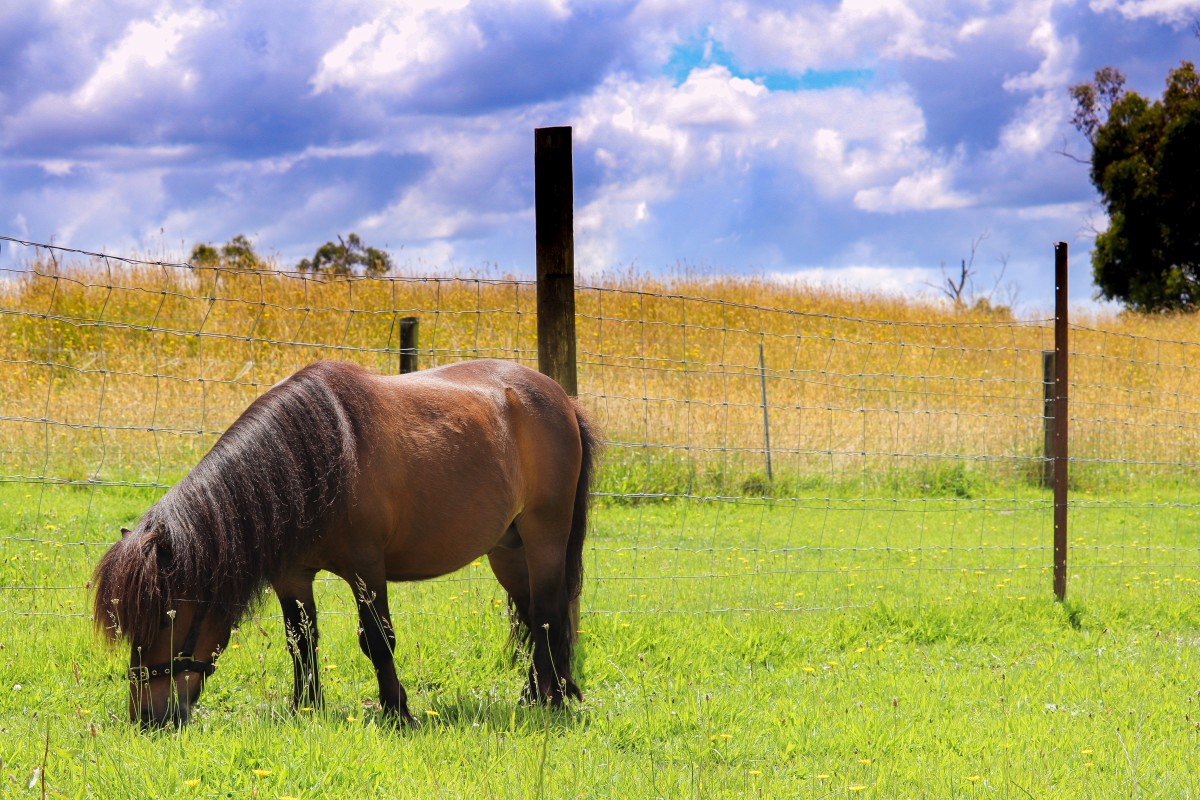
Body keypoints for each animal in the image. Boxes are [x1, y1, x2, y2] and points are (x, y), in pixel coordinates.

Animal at [92, 359, 598, 728]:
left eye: (167, 618)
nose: (145, 716)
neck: (315, 461)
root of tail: (562, 399)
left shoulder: (366, 569)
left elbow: (378, 639)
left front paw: (398, 712)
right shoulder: (291, 576)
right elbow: (301, 640)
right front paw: (306, 707)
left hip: (544, 535)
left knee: (549, 614)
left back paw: (552, 700)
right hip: (507, 550)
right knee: (532, 616)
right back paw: (533, 693)